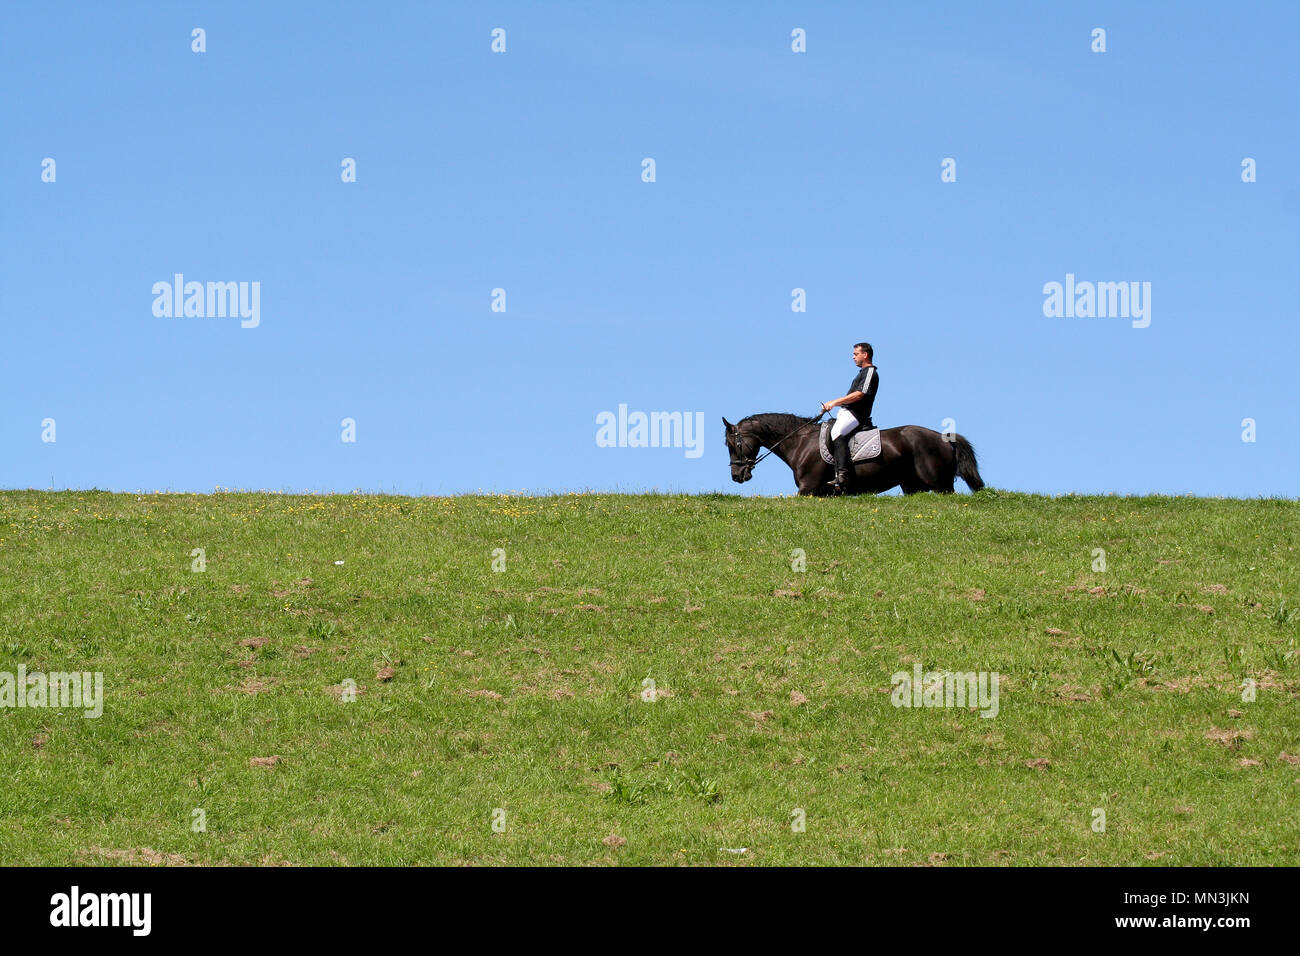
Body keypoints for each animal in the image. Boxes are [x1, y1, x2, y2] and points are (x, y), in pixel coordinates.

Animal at [723, 413, 985, 496]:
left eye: (732, 444)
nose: (736, 475)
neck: (801, 443)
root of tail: (944, 437)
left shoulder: (807, 490)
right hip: (912, 486)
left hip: (940, 485)